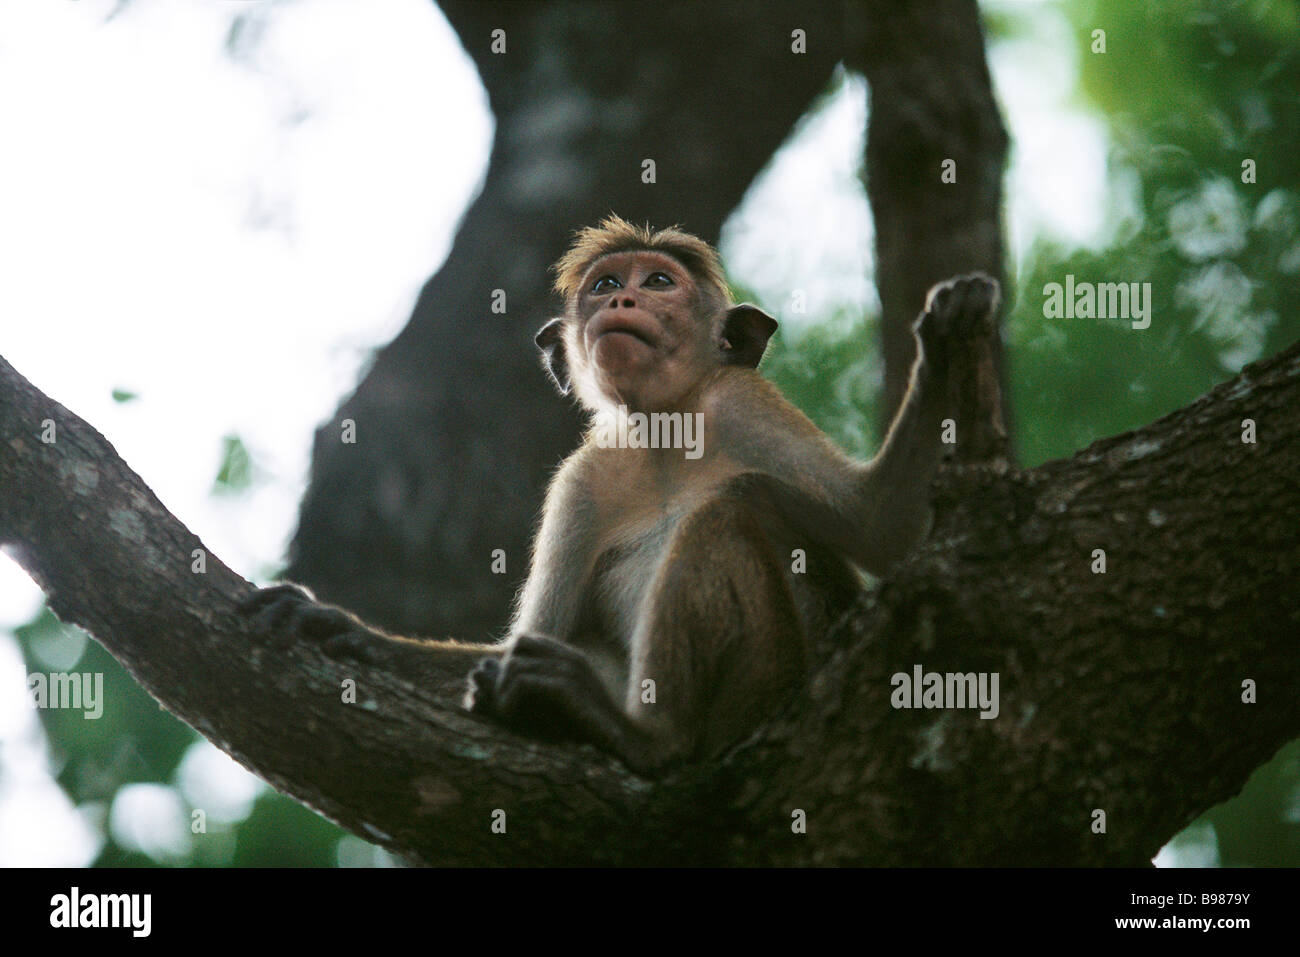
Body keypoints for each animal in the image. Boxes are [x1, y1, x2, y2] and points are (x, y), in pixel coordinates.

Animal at [243, 215, 998, 777]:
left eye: (658, 282)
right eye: (606, 283)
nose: (619, 301)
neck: (664, 433)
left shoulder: (740, 405)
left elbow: (885, 529)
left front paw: (947, 336)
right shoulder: (583, 480)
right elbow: (534, 636)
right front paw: (346, 632)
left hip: (765, 689)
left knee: (724, 516)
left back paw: (648, 736)